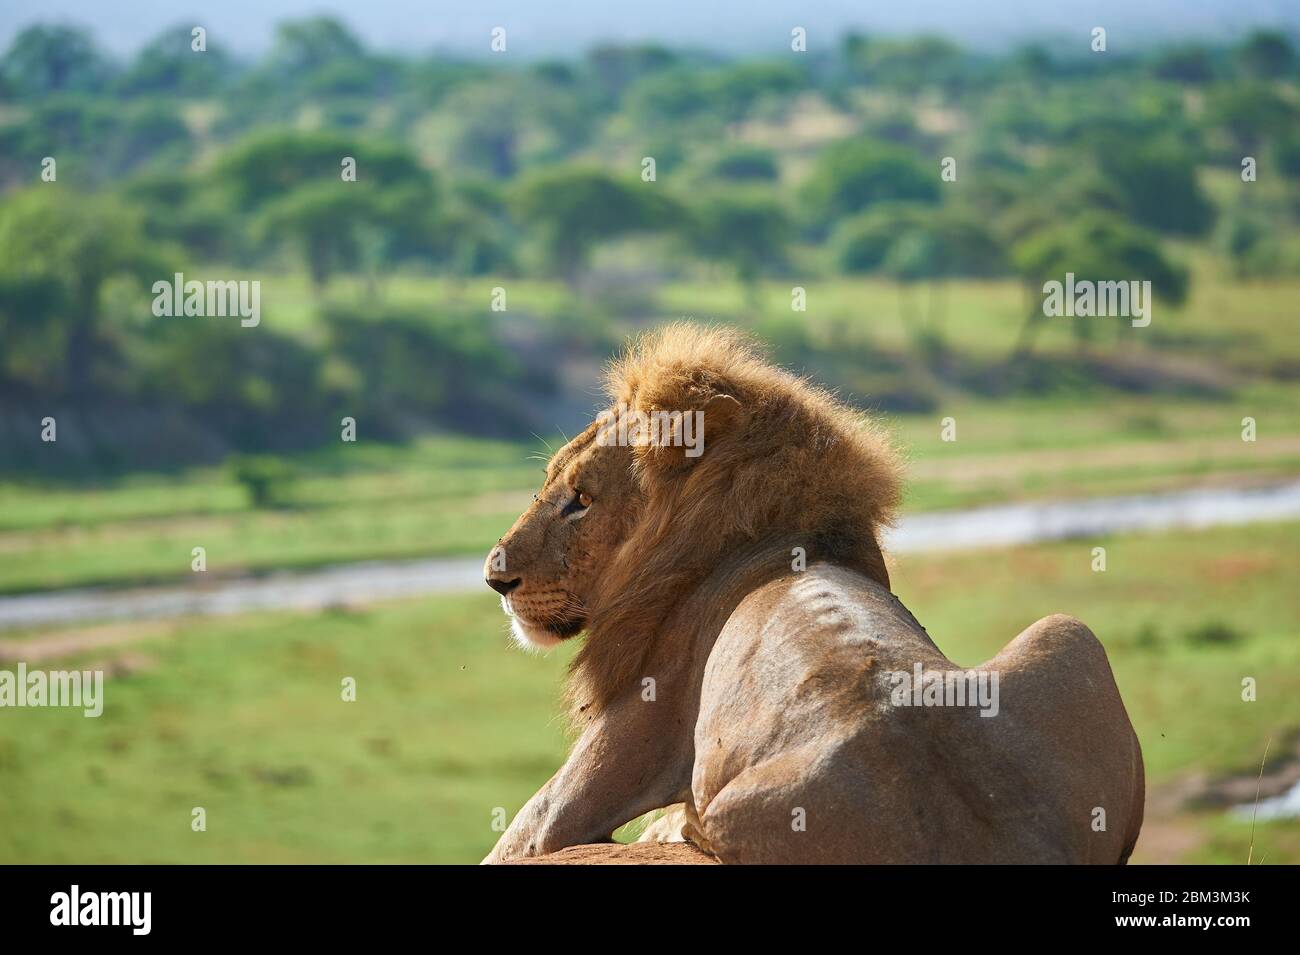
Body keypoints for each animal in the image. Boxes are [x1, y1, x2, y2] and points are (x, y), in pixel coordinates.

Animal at [482, 323, 1144, 864]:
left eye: (580, 500)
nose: (494, 578)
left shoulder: (596, 773)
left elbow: (522, 835)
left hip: (739, 802)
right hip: (1068, 630)